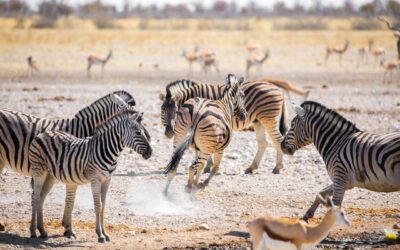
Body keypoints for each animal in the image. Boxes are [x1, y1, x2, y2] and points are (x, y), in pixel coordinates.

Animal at [29, 109, 152, 242]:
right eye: (138, 133)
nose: (150, 152)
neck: (107, 151)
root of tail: (42, 133)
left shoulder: (107, 180)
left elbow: (103, 206)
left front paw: (105, 233)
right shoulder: (95, 180)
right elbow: (98, 206)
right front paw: (100, 235)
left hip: (50, 175)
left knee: (41, 198)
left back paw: (42, 231)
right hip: (39, 172)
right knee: (35, 198)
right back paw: (33, 232)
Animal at [159, 78, 306, 174]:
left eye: (176, 112)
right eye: (162, 111)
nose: (169, 133)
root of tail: (278, 89)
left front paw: (205, 166)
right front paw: (205, 165)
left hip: (268, 119)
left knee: (277, 140)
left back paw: (278, 167)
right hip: (257, 121)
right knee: (263, 142)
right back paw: (252, 167)